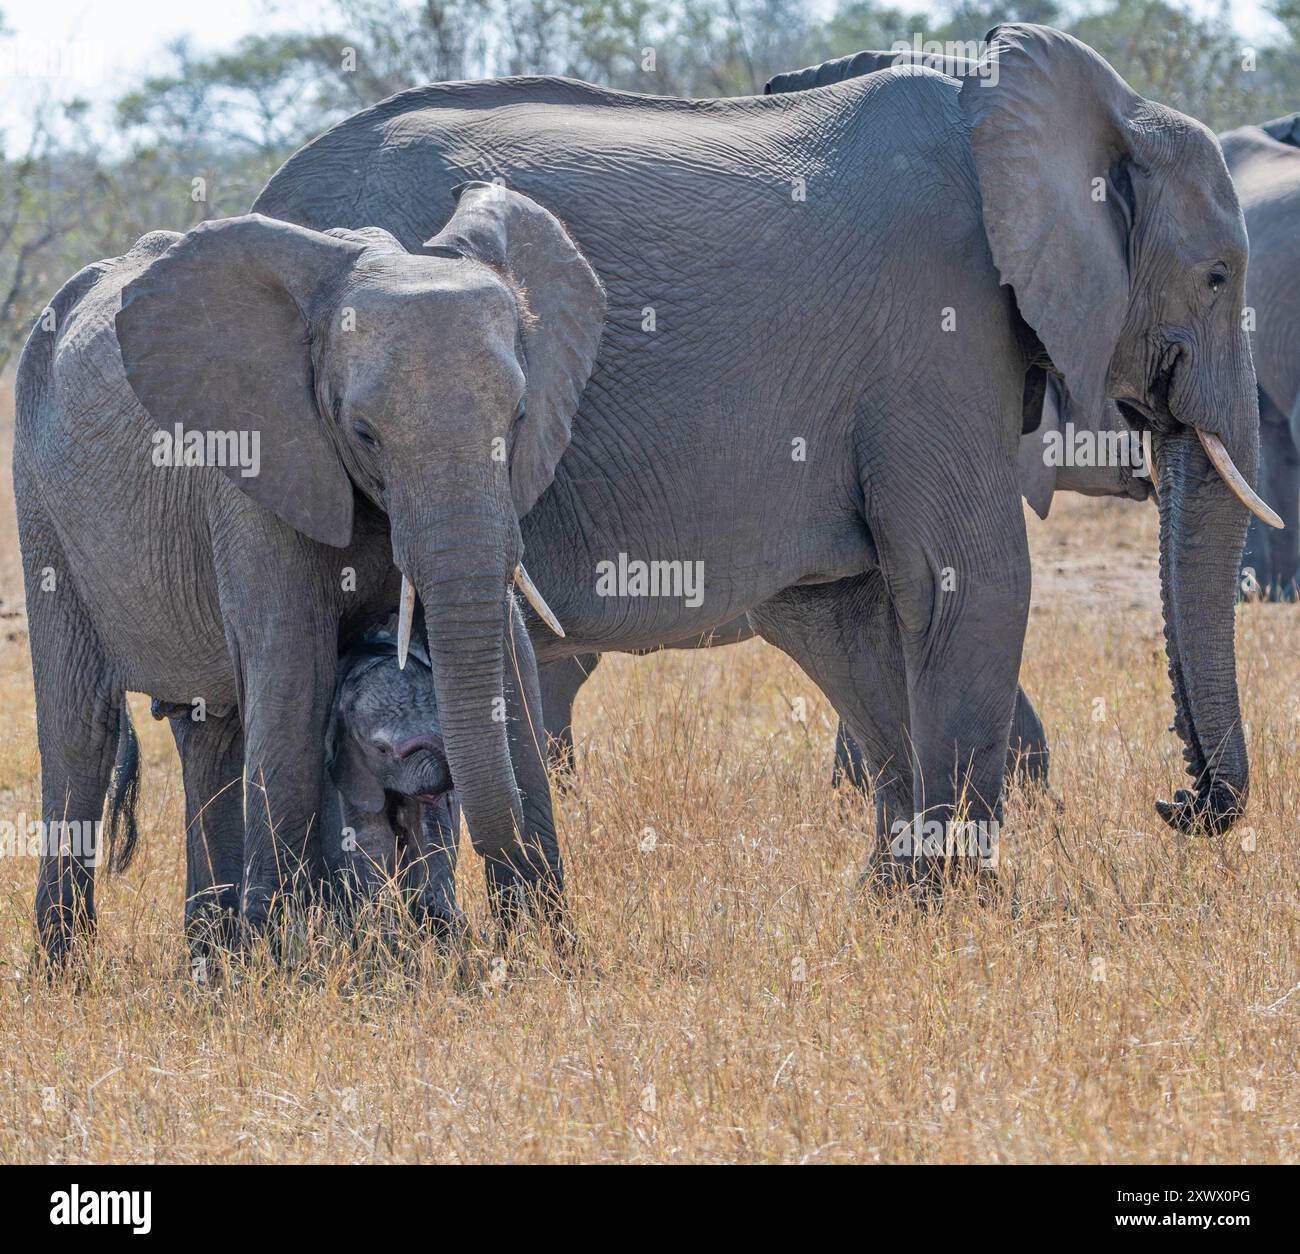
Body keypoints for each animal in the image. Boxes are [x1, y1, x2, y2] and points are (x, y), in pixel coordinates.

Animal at [15, 186, 605, 962]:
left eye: (520, 415)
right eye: (364, 434)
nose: (489, 933)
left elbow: (511, 659)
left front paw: (548, 952)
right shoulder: (251, 461)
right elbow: (294, 670)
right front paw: (283, 967)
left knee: (210, 732)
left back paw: (211, 962)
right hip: (40, 507)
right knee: (81, 729)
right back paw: (73, 971)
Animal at [251, 22, 1269, 890]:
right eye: (1219, 276)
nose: (1178, 801)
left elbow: (849, 612)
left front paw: (897, 903)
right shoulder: (936, 323)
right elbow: (968, 577)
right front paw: (962, 905)